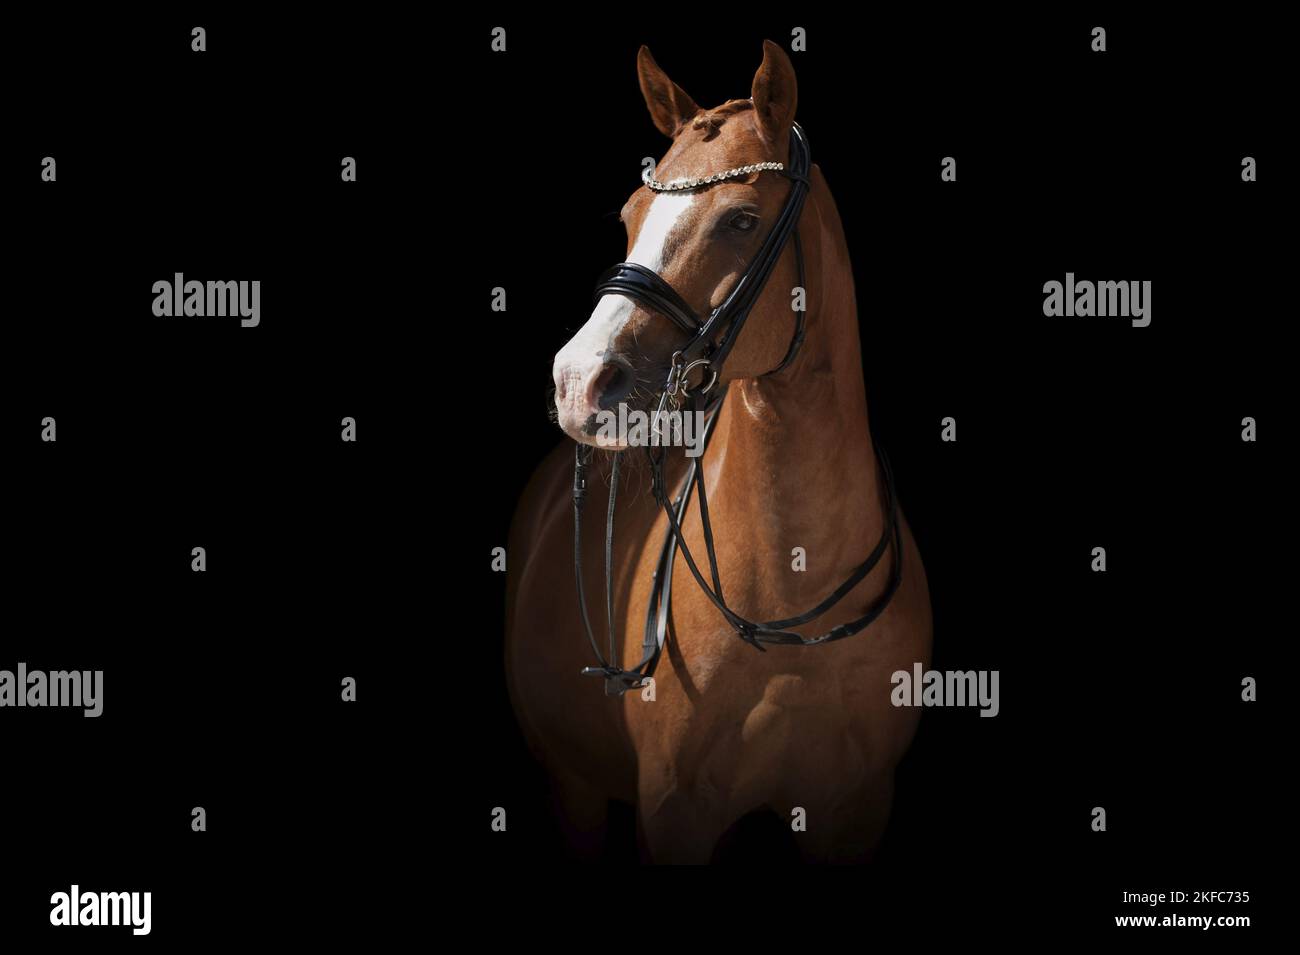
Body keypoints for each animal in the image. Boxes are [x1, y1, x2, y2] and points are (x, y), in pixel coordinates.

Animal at [505, 40, 932, 863]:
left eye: (740, 218)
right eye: (631, 216)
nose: (578, 381)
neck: (791, 588)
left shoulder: (856, 808)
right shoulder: (675, 814)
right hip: (572, 788)